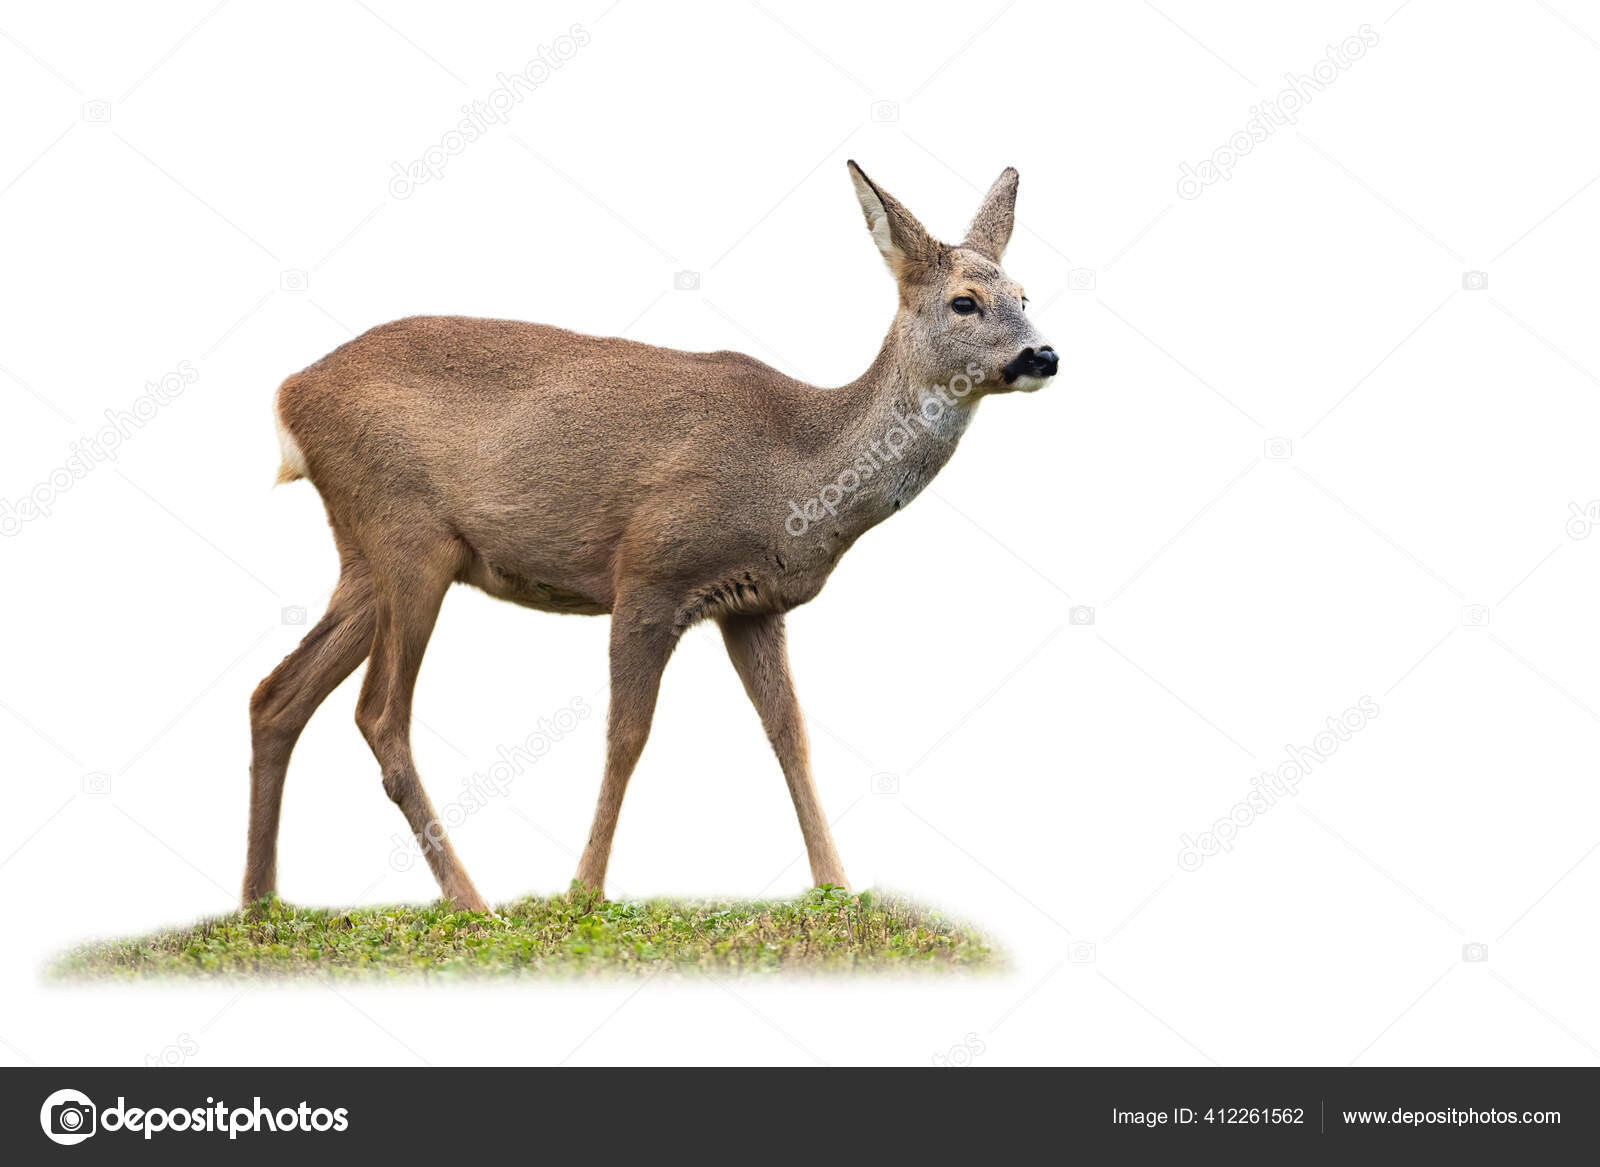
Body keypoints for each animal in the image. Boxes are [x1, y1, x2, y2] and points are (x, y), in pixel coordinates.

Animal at [243, 160, 1058, 911]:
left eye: (1026, 297)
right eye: (964, 301)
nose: (1045, 355)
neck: (797, 468)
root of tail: (288, 395)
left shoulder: (752, 605)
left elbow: (790, 736)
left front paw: (835, 886)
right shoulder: (650, 572)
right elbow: (627, 736)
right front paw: (582, 891)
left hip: (367, 557)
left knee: (276, 696)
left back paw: (260, 904)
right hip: (408, 536)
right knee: (378, 714)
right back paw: (471, 903)